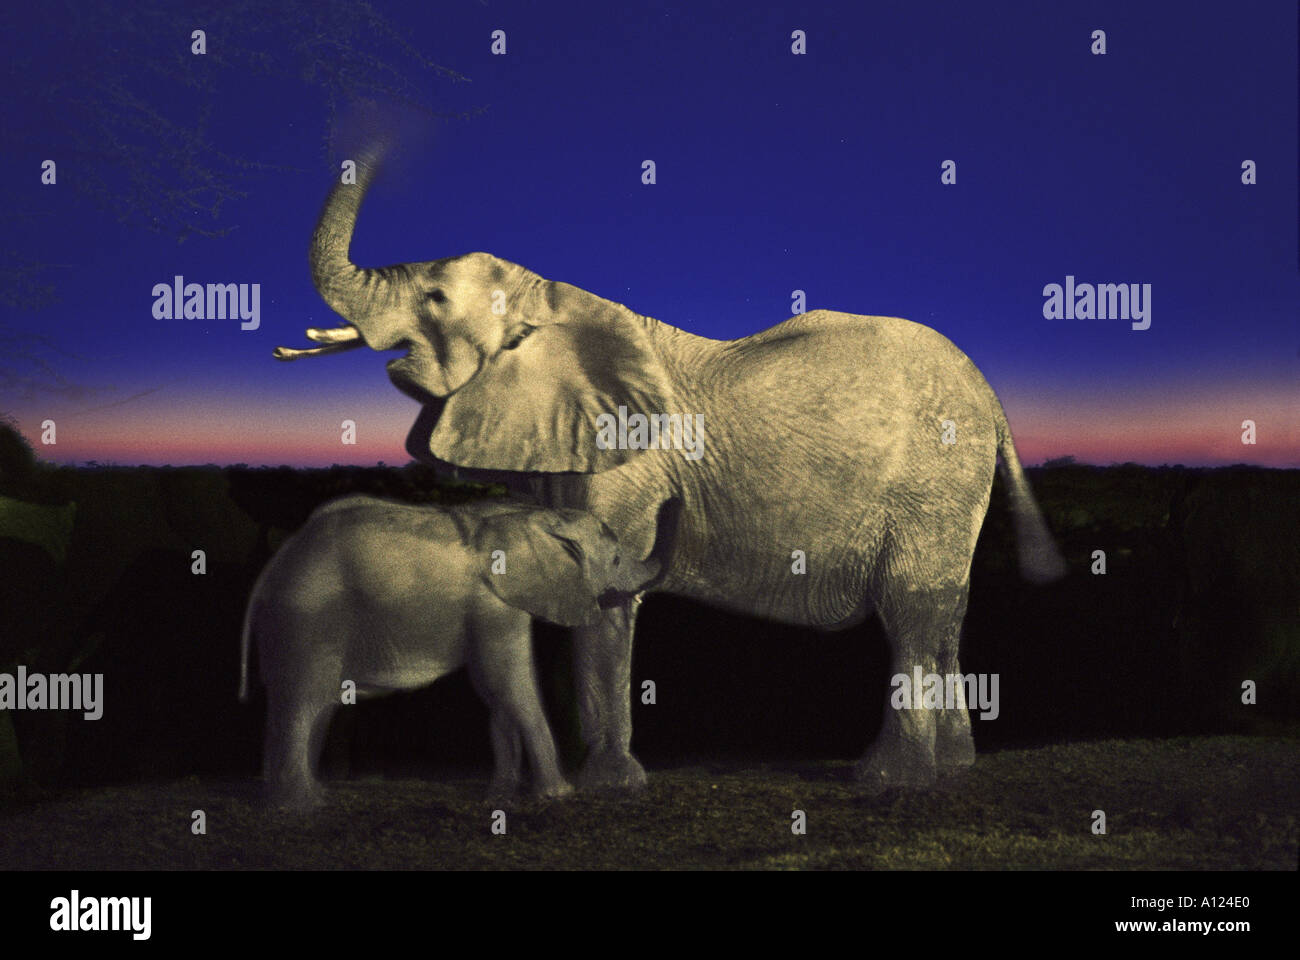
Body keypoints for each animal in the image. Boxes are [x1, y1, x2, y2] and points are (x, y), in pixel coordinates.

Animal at [238, 494, 661, 807]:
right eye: (616, 558)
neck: (535, 517)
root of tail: (271, 568)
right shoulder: (492, 604)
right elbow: (510, 685)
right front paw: (558, 795)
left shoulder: (500, 603)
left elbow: (497, 692)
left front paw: (500, 797)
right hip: (307, 618)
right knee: (304, 702)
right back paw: (303, 807)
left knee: (303, 702)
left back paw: (286, 800)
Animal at [275, 143, 1067, 792]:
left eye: (434, 299)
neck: (551, 298)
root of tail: (990, 395)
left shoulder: (628, 462)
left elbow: (606, 592)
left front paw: (607, 787)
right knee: (944, 613)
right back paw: (952, 768)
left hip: (933, 479)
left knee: (909, 609)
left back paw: (887, 779)